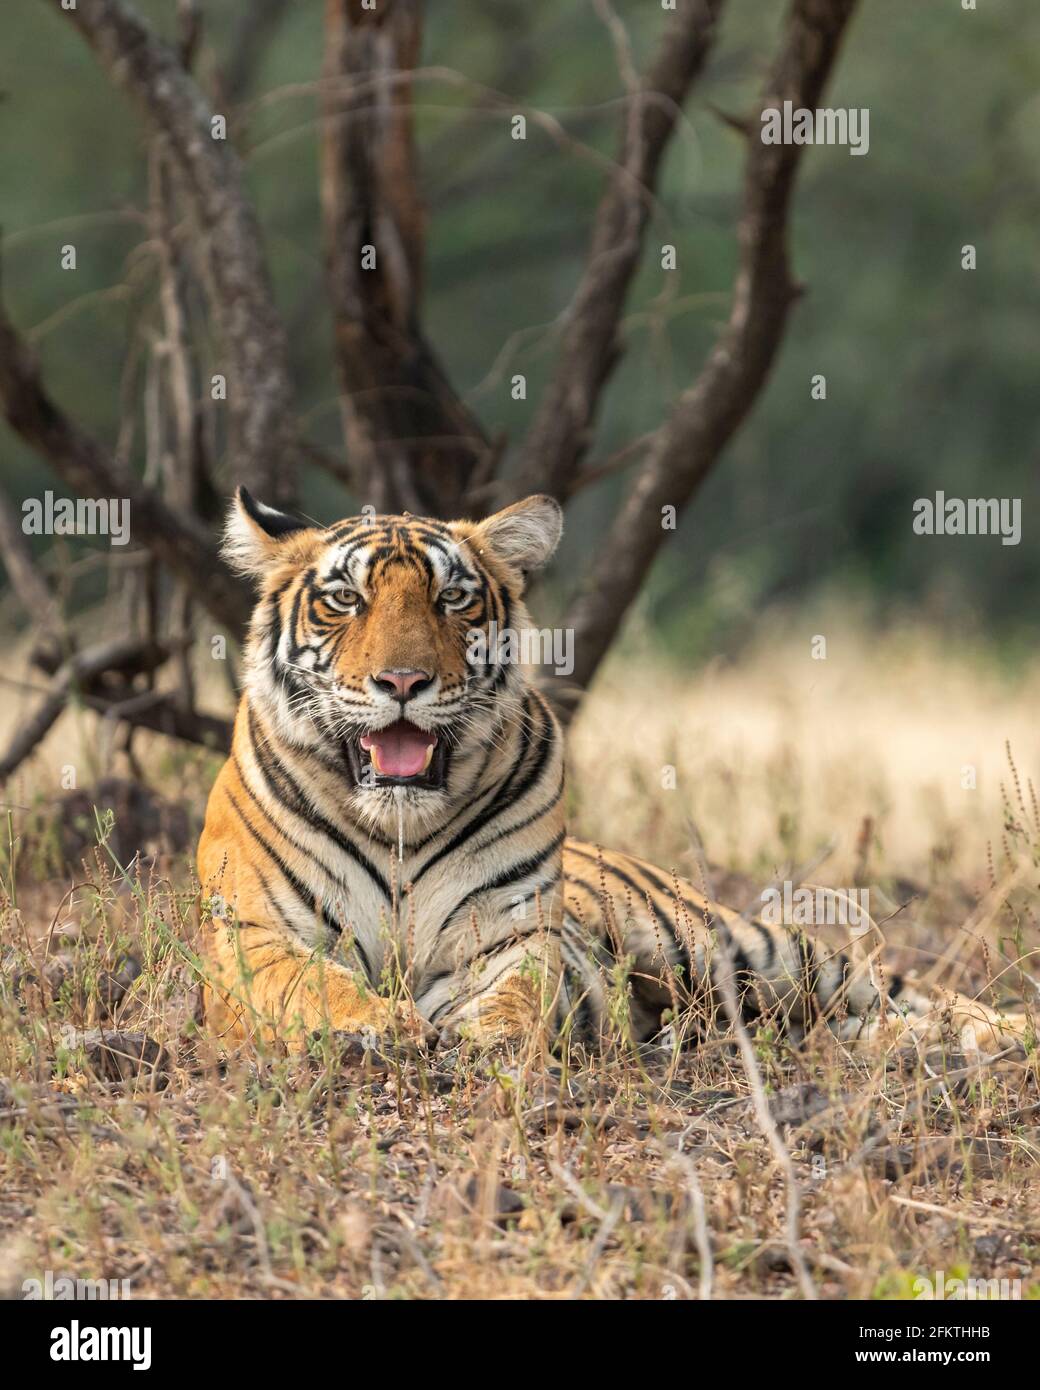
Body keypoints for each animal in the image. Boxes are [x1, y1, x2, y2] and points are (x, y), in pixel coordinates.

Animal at [197, 488, 1029, 1057]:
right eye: (345, 598)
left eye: (453, 597)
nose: (403, 681)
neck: (399, 823)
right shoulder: (254, 934)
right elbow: (309, 984)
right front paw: (378, 1026)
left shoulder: (510, 934)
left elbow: (516, 997)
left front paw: (491, 1042)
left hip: (740, 949)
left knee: (890, 987)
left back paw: (998, 1034)